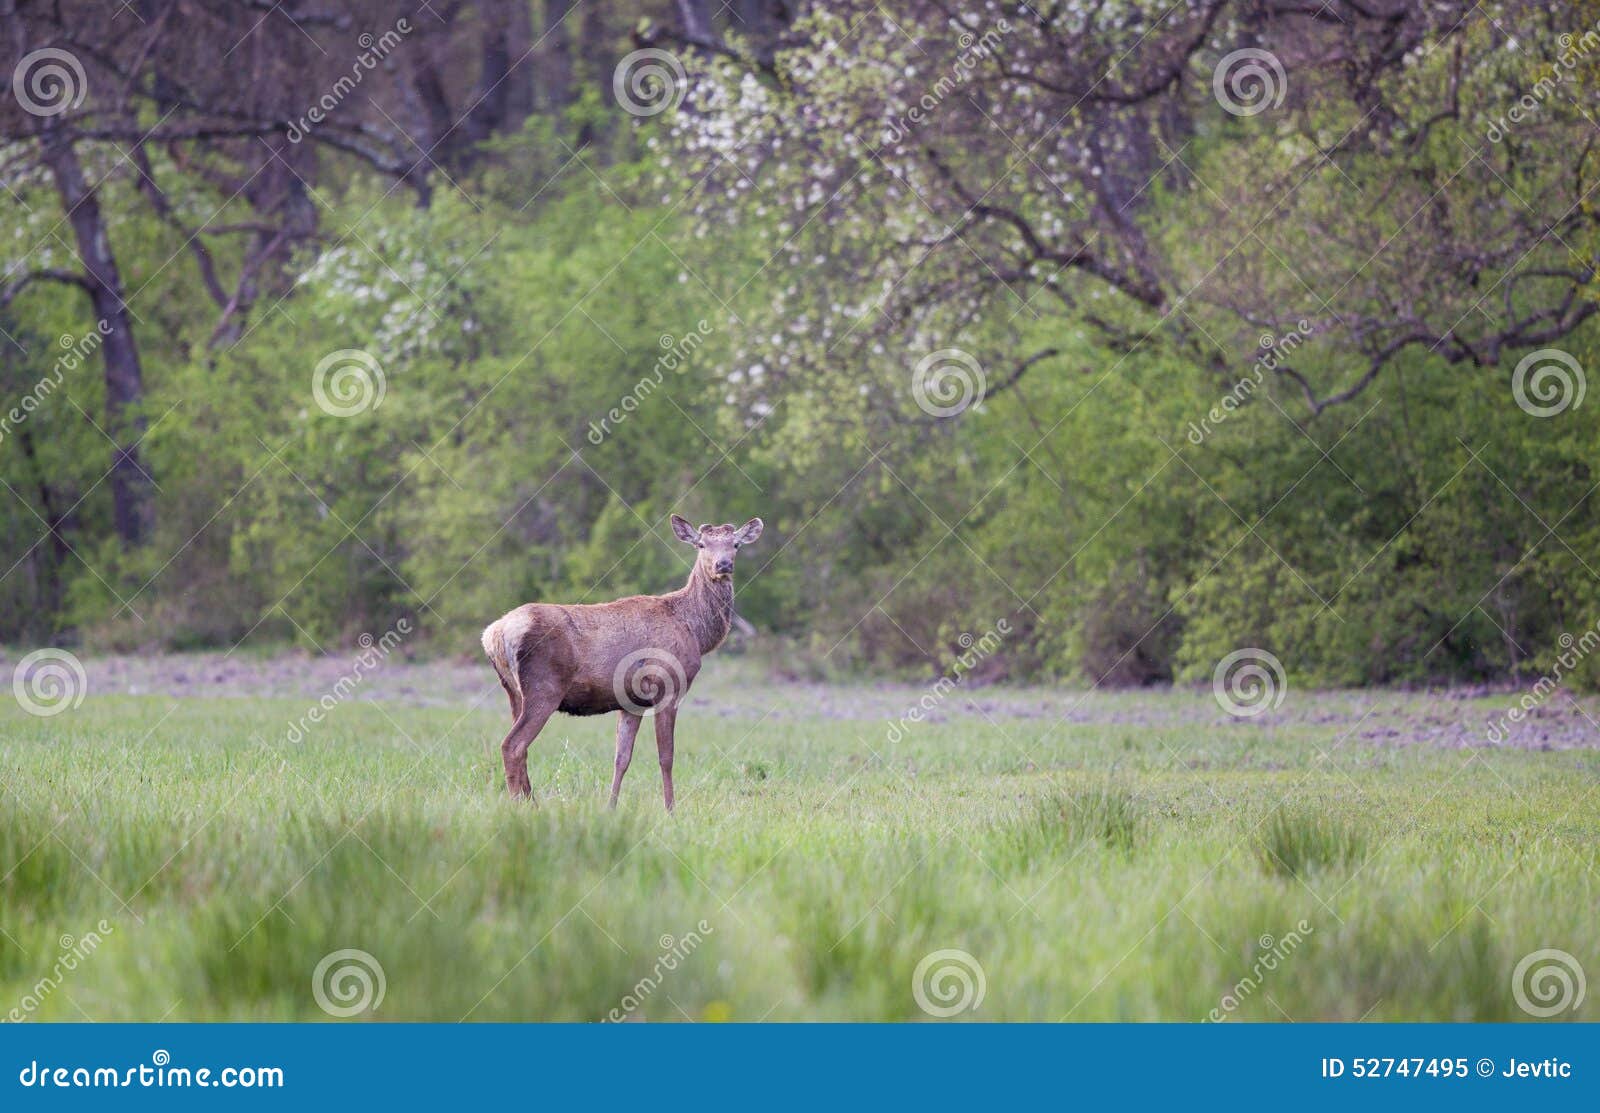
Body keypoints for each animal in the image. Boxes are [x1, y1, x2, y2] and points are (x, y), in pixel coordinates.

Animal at [480, 514, 764, 810]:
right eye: (701, 544)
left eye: (735, 544)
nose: (724, 564)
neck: (695, 632)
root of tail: (494, 634)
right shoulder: (668, 687)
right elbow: (666, 757)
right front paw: (670, 809)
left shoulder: (632, 702)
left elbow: (622, 758)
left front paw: (611, 806)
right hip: (543, 687)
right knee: (513, 745)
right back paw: (522, 805)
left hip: (514, 691)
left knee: (519, 746)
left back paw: (530, 801)